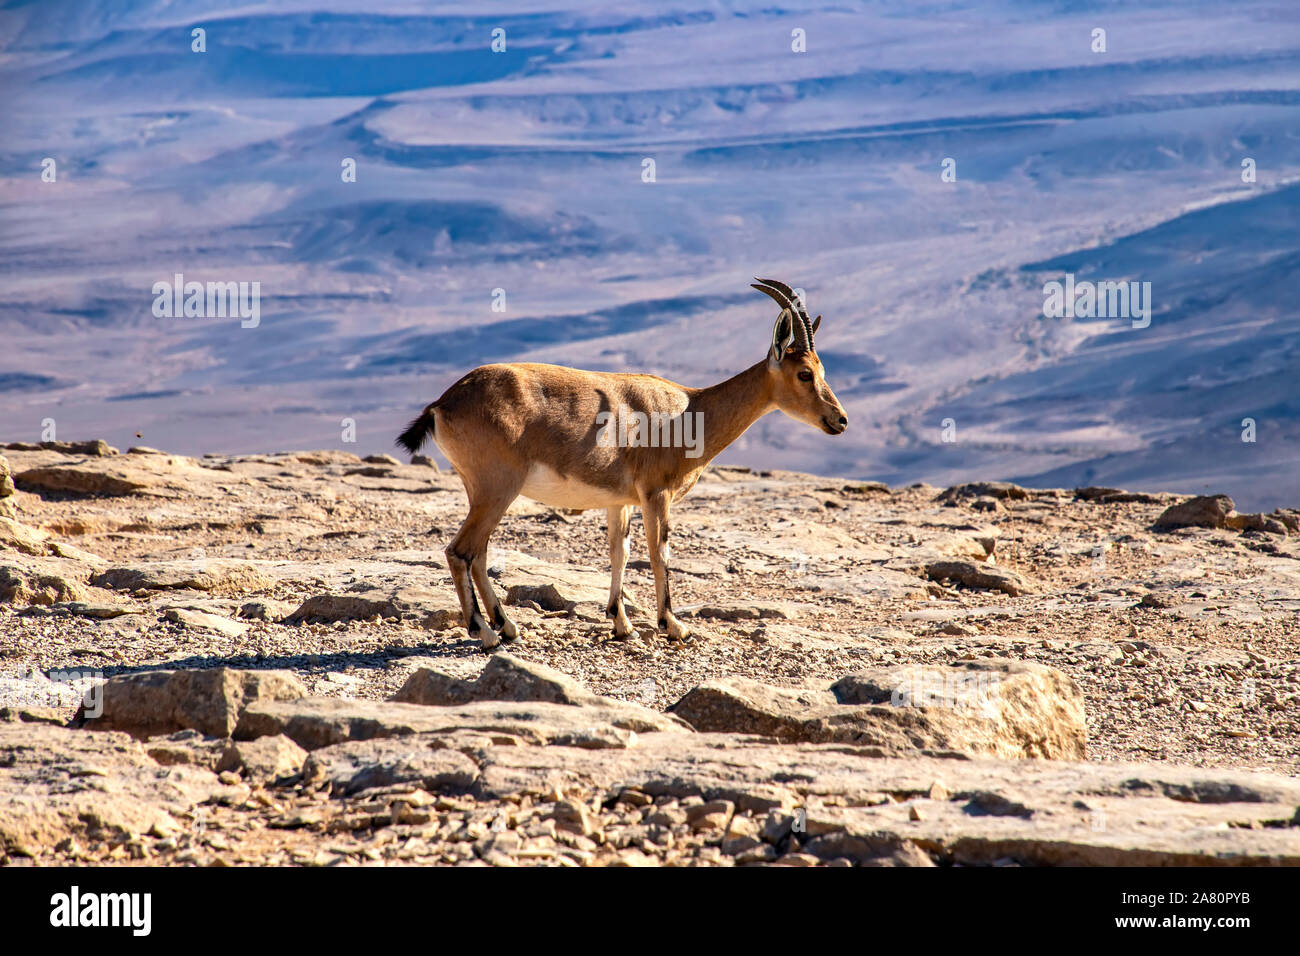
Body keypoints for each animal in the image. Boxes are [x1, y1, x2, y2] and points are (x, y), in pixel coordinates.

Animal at [396, 278, 848, 650]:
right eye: (804, 374)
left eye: (822, 369)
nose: (840, 420)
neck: (690, 411)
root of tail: (443, 403)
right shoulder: (656, 494)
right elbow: (659, 551)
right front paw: (673, 626)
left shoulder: (620, 502)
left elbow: (621, 551)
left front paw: (622, 624)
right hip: (496, 489)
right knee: (460, 551)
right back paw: (486, 633)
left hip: (485, 493)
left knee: (479, 553)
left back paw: (507, 627)